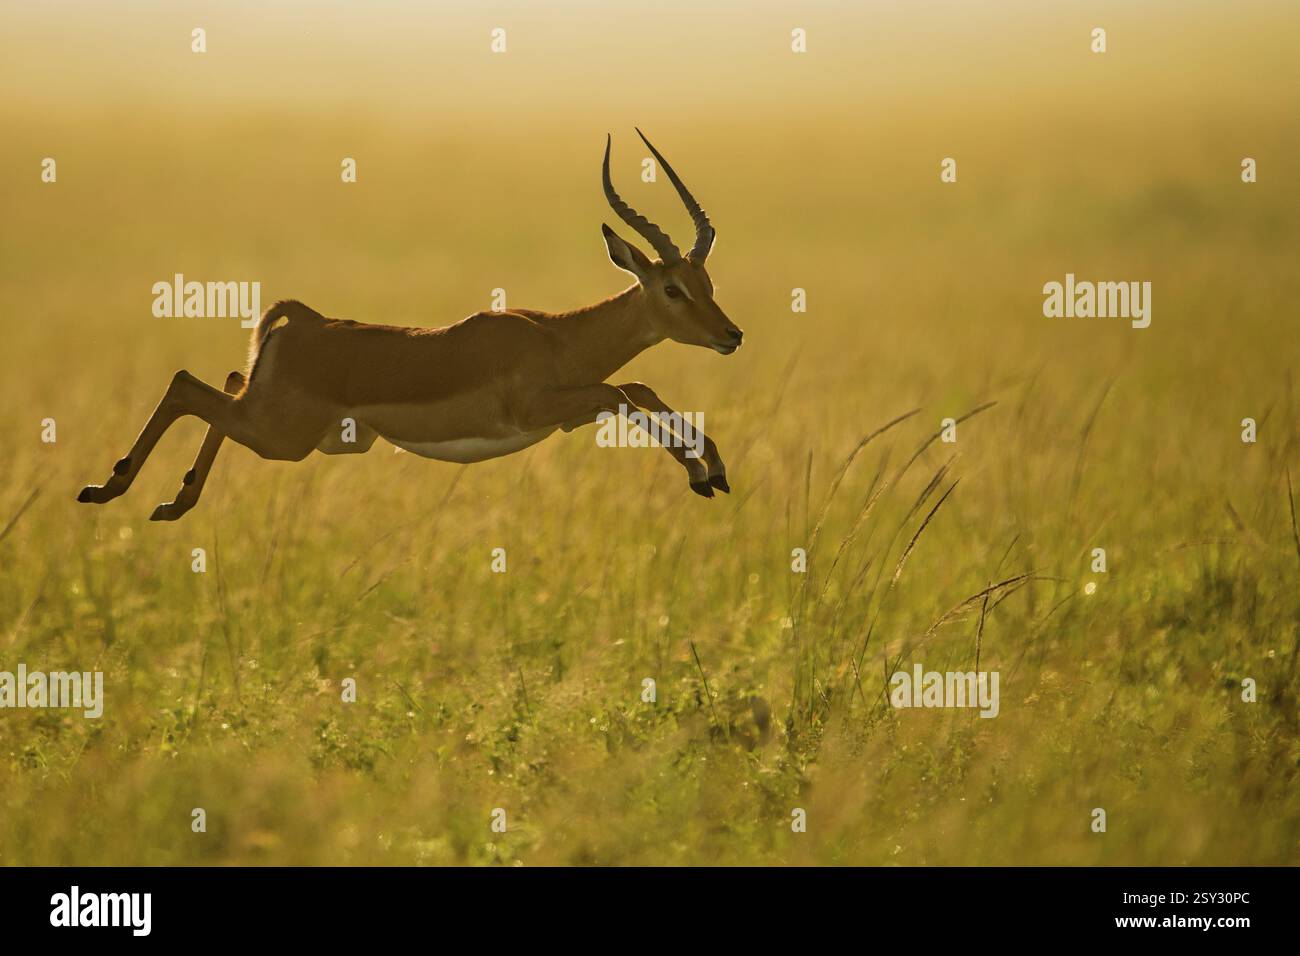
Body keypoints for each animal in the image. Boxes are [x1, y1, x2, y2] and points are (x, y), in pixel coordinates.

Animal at [78, 130, 743, 521]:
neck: (556, 338)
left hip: (282, 425)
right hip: (281, 437)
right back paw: (108, 488)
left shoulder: (570, 409)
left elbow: (636, 388)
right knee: (186, 385)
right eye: (673, 288)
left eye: (709, 284)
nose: (731, 335)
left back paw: (173, 500)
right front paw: (699, 473)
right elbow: (620, 392)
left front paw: (715, 469)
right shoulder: (538, 409)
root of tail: (304, 323)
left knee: (224, 382)